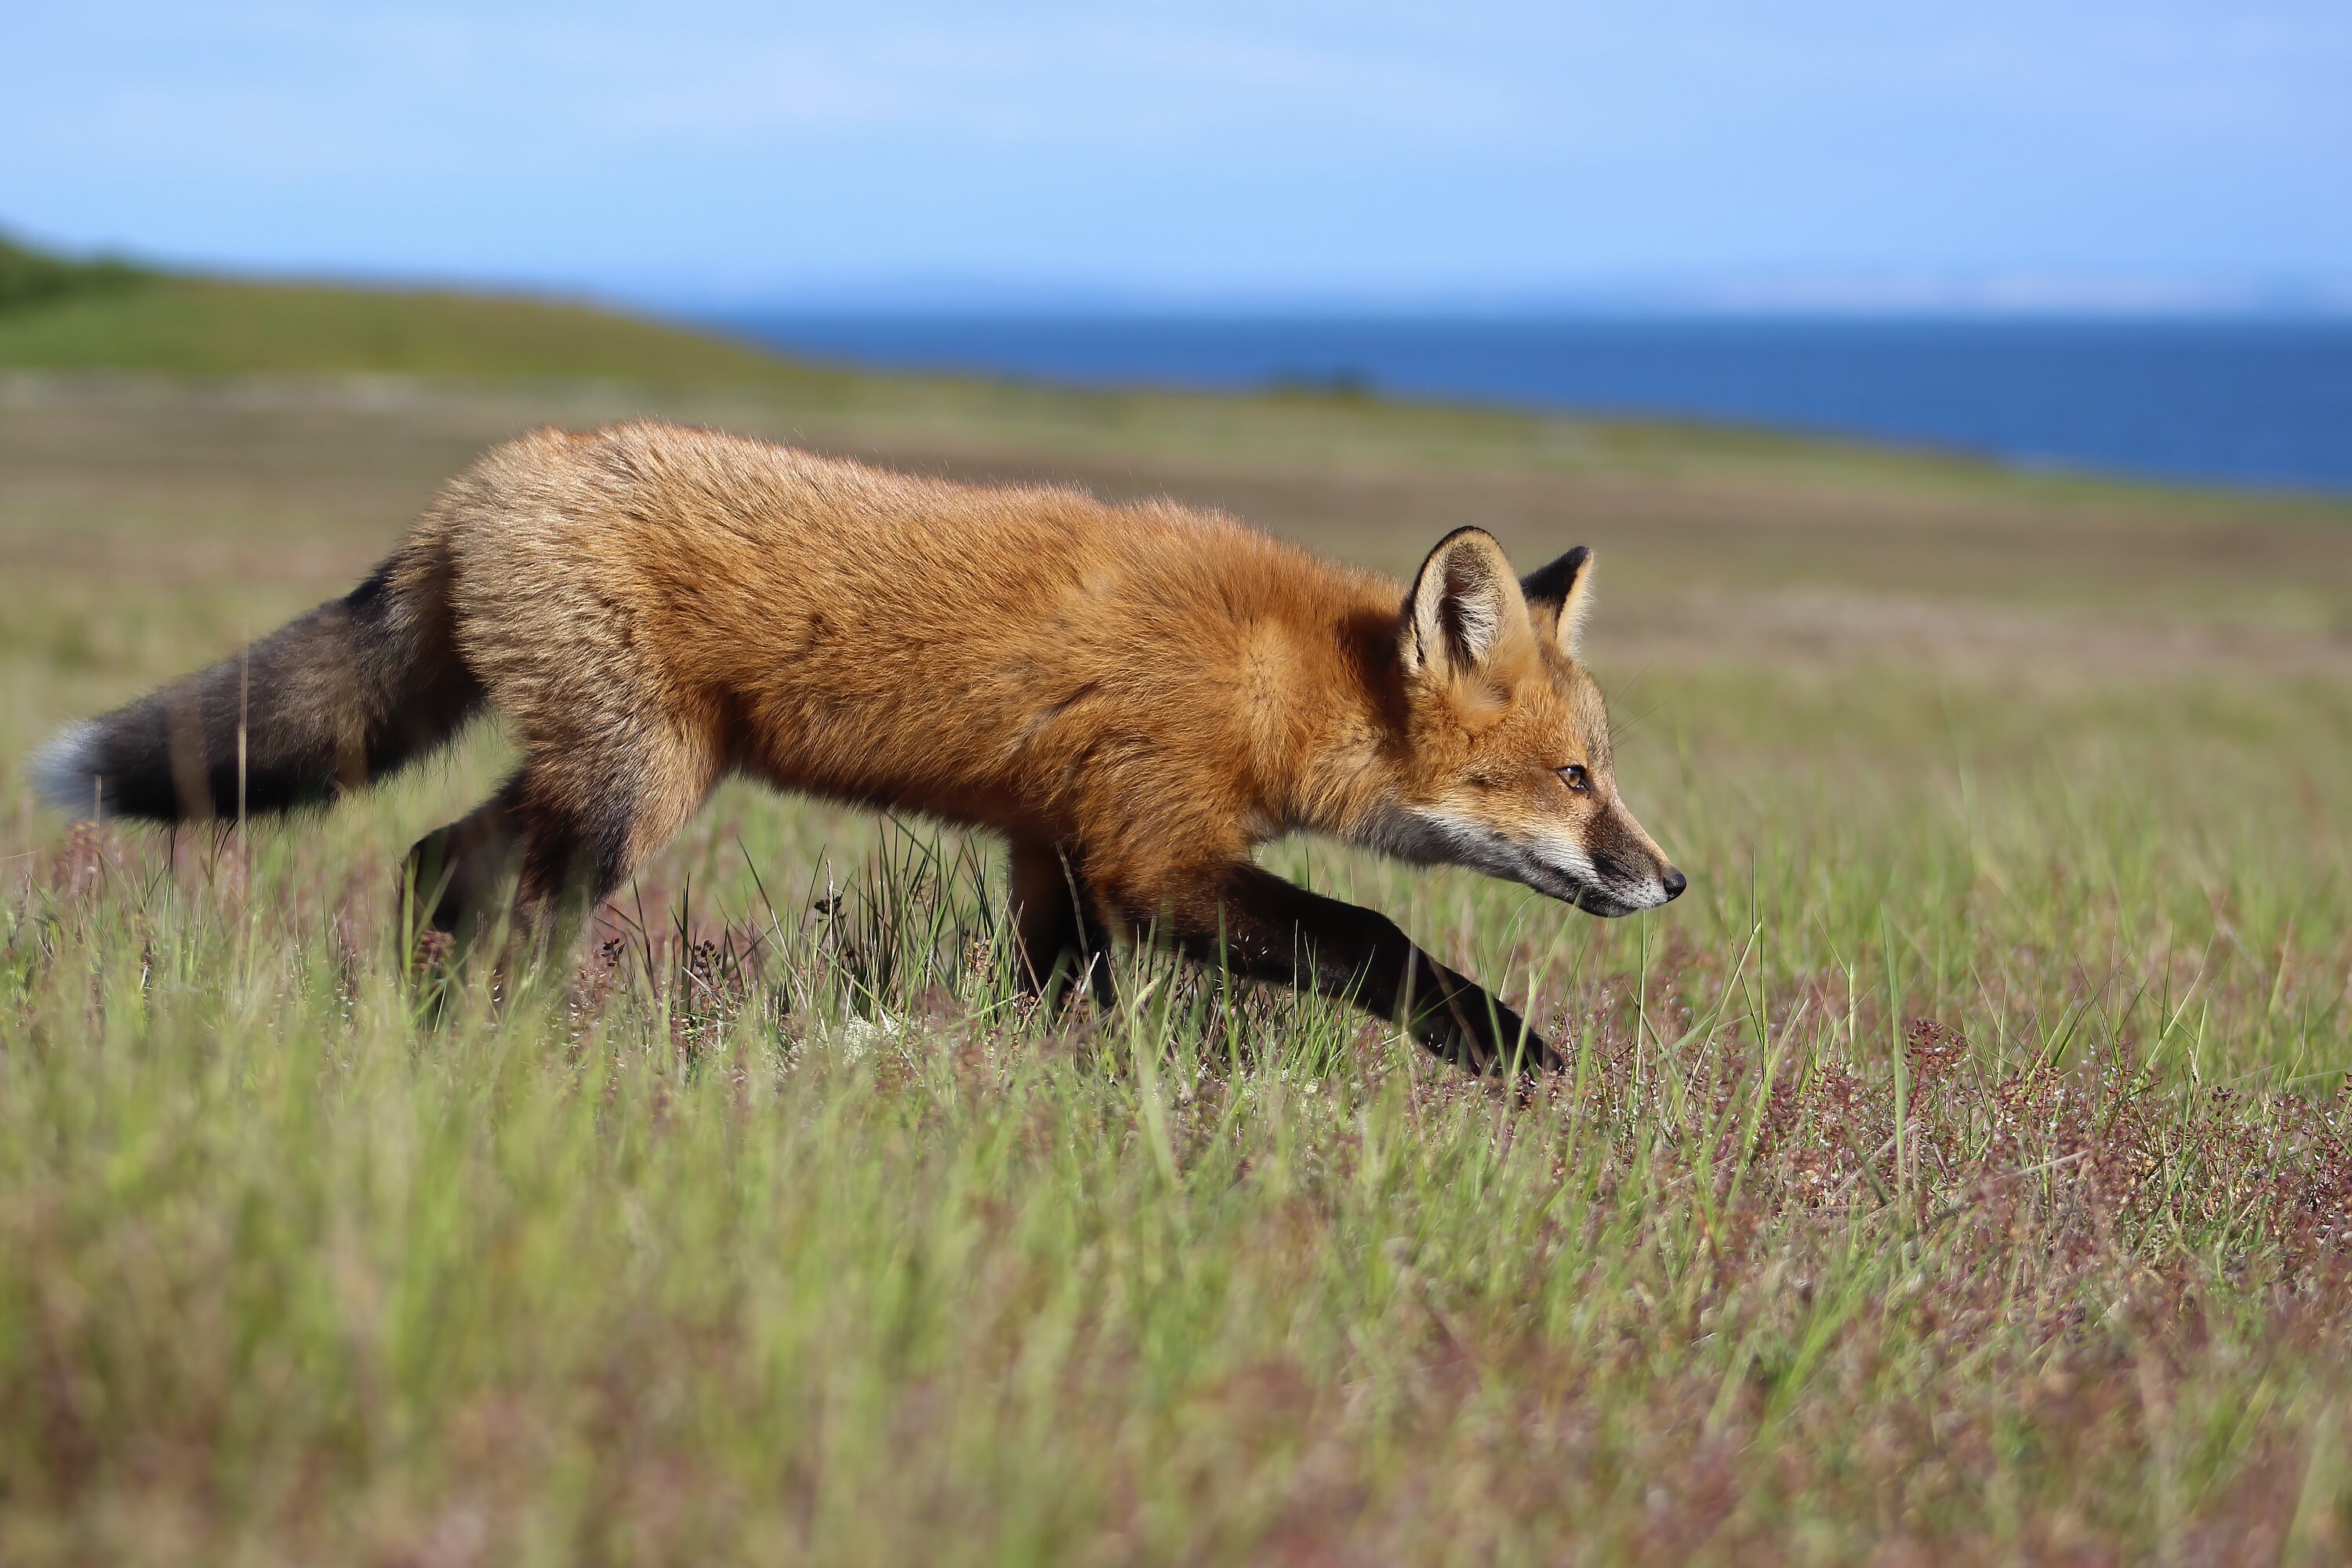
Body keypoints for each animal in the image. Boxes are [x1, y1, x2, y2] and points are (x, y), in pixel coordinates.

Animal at [30, 421, 1684, 1075]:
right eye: (1576, 782)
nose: (1671, 882)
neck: (1276, 675)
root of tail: (480, 483)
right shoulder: (1155, 857)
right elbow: (1374, 937)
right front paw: (1514, 1055)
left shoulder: (1055, 851)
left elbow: (1065, 1002)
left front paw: (1053, 1099)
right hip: (629, 801)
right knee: (493, 899)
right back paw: (500, 1050)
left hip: (602, 781)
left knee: (434, 863)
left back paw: (415, 1030)